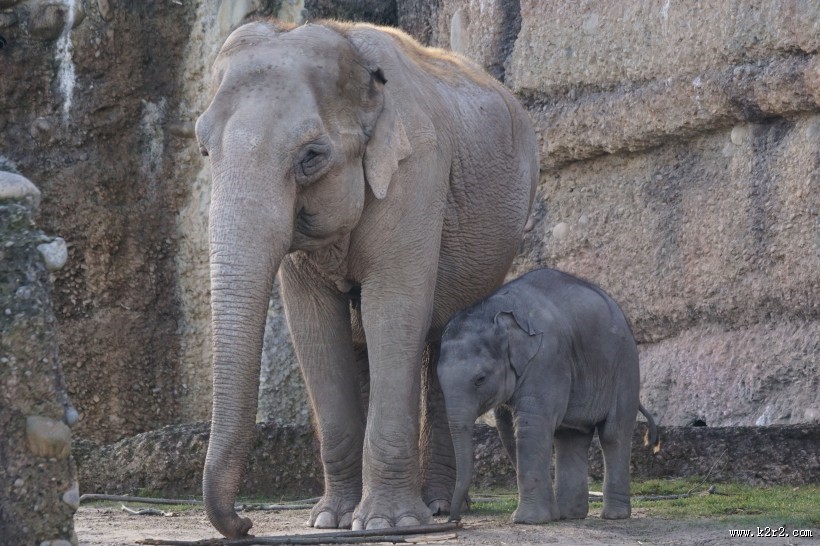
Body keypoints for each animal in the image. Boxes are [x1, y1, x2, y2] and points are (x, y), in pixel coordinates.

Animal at [195, 19, 539, 538]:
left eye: (311, 156)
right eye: (203, 148)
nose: (246, 521)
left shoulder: (418, 172)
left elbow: (393, 310)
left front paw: (385, 523)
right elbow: (314, 326)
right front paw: (329, 521)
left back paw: (436, 507)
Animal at [437, 268, 660, 524]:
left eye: (480, 379)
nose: (453, 519)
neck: (498, 309)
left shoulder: (547, 358)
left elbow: (530, 424)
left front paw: (528, 520)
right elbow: (508, 430)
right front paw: (548, 515)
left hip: (625, 368)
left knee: (614, 434)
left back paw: (614, 515)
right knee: (570, 438)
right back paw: (569, 515)